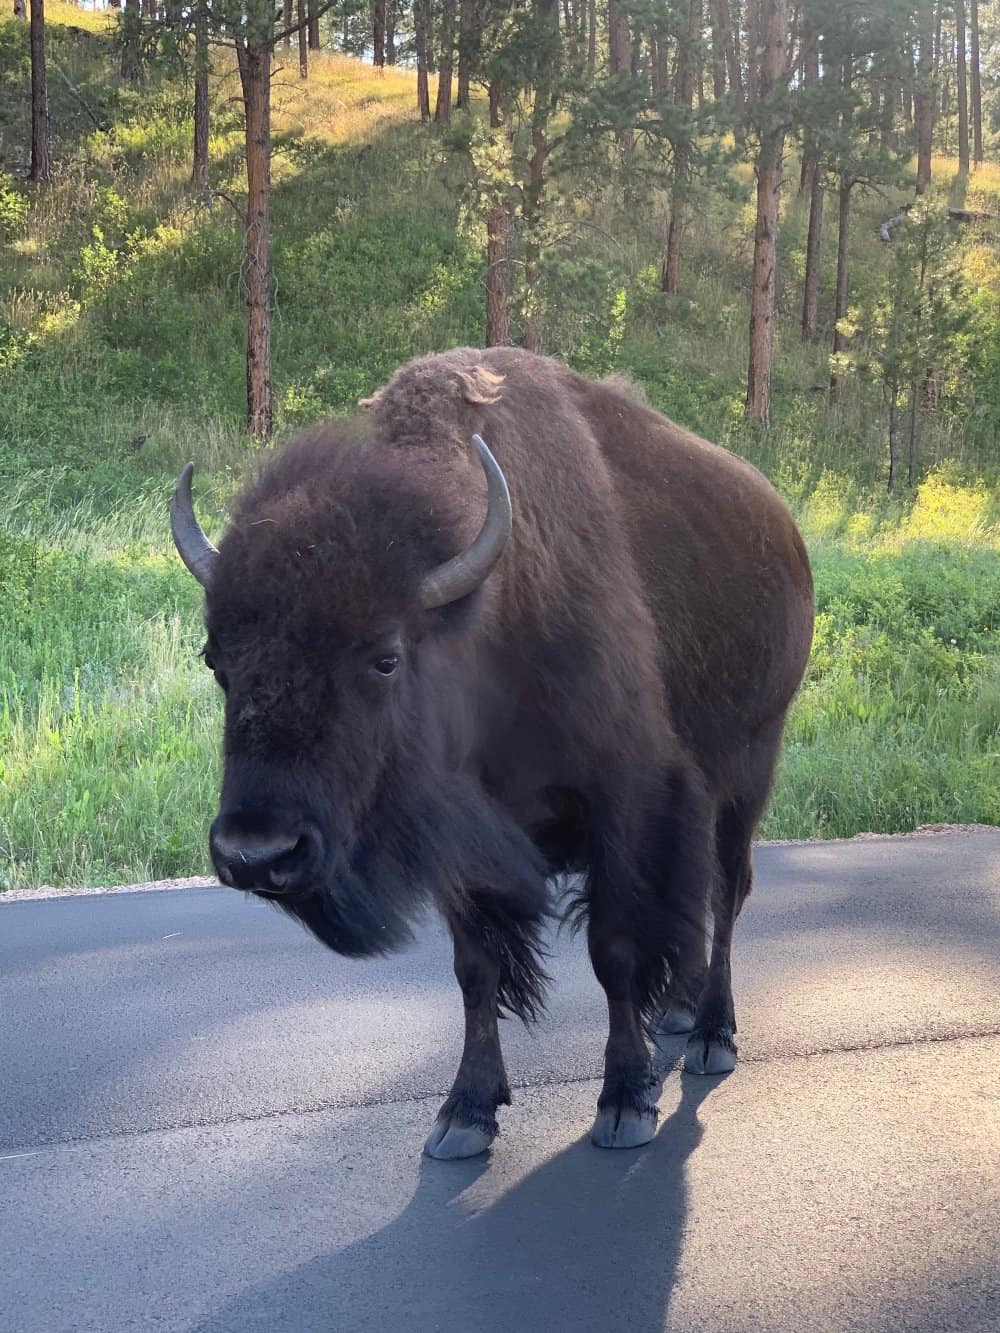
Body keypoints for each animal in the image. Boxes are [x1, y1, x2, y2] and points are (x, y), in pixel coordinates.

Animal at [171, 348, 813, 1157]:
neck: (486, 620)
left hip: (751, 771)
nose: (257, 853)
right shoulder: (460, 841)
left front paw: (624, 1103)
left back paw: (710, 1035)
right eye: (217, 660)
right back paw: (677, 1009)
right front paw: (465, 1113)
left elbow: (614, 950)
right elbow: (473, 968)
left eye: (385, 658)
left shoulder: (625, 801)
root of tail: (784, 528)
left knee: (726, 894)